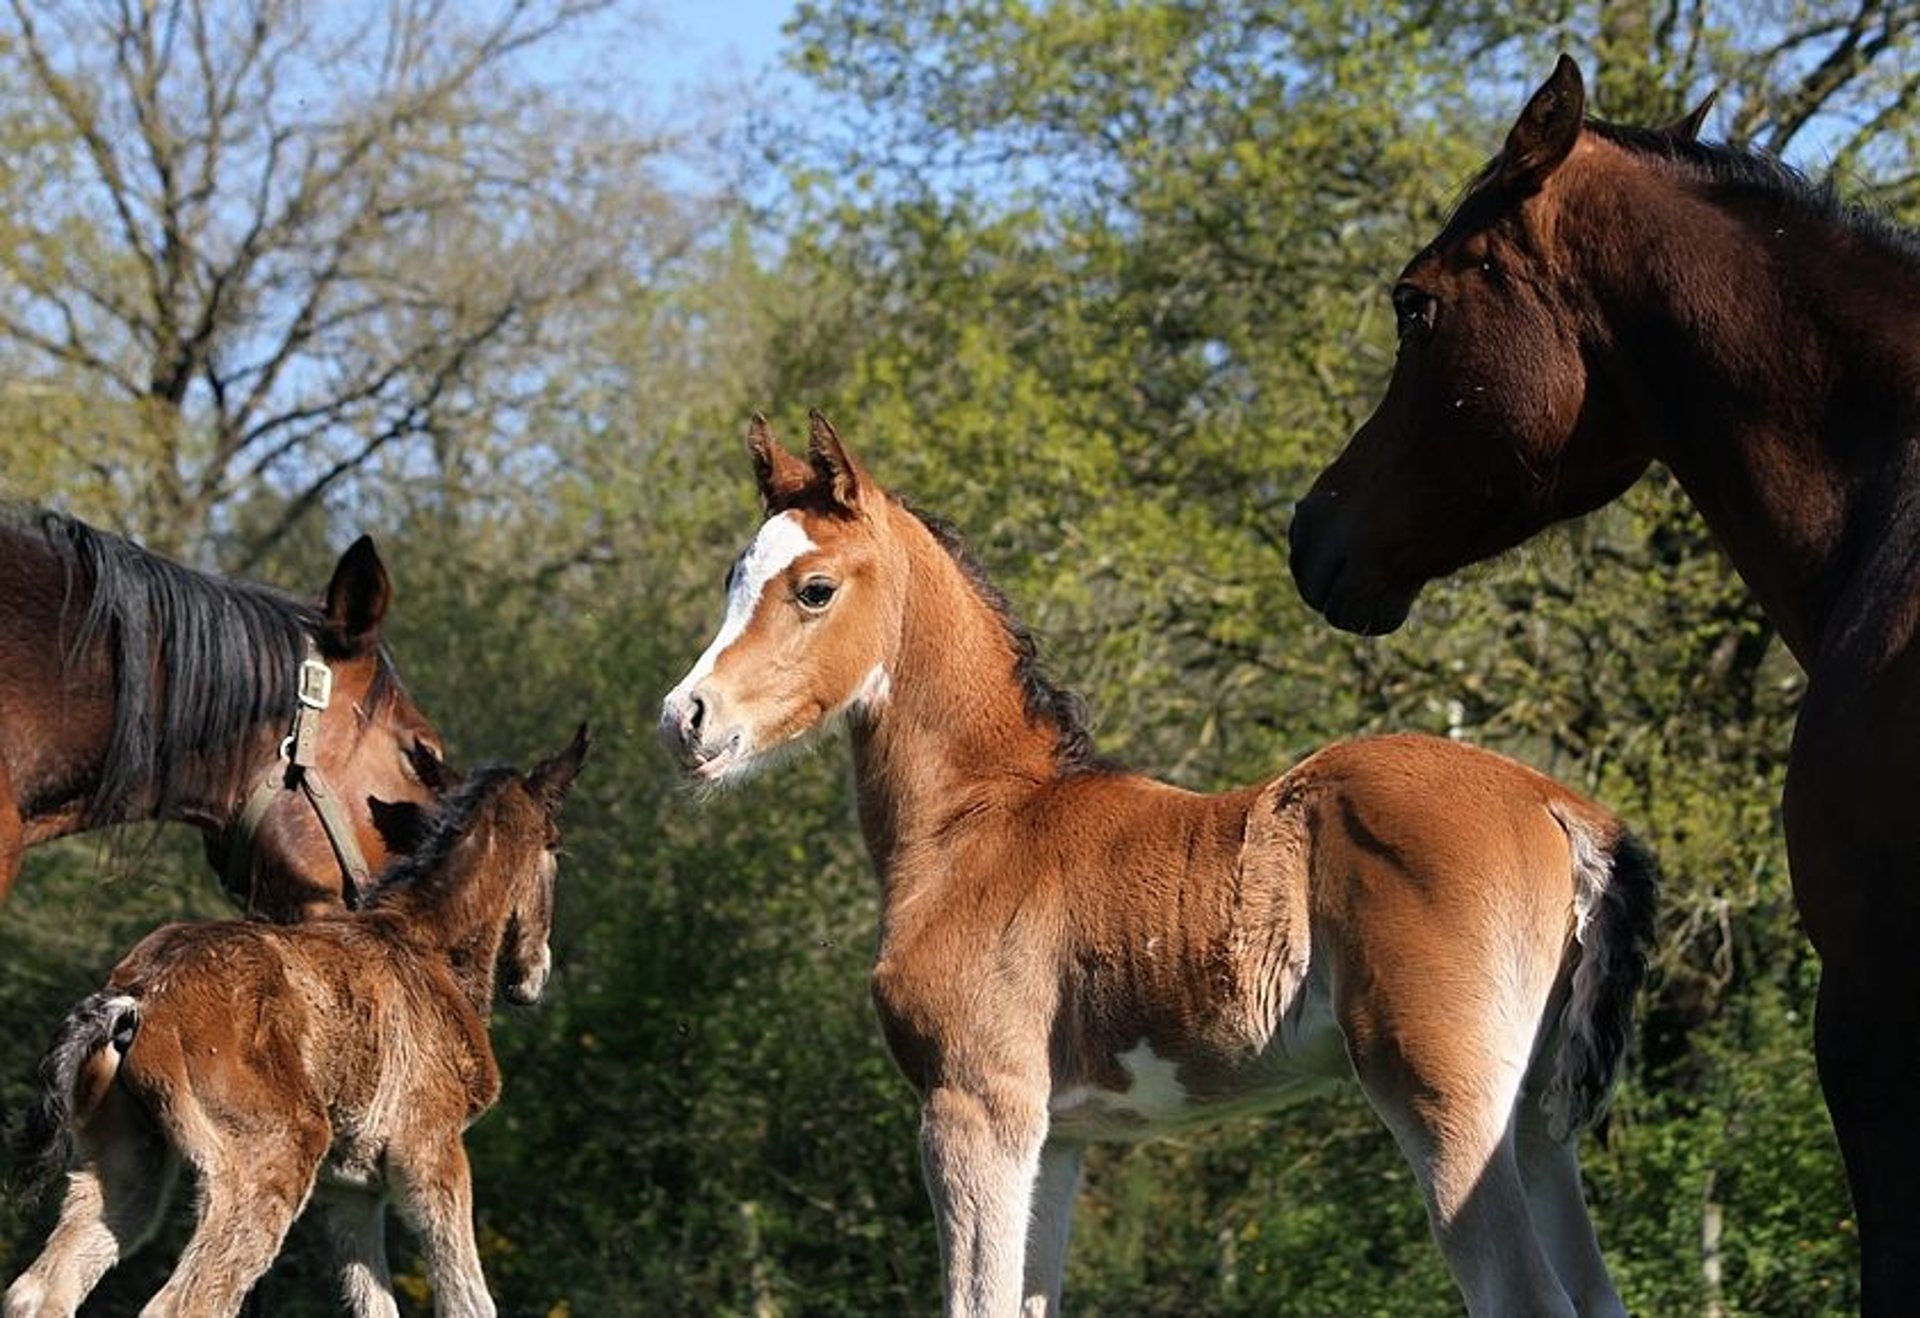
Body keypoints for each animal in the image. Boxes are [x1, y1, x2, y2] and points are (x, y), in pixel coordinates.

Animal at [3, 726, 587, 1318]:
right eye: (557, 846)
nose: (533, 976)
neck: (429, 946)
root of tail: (139, 993)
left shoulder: (353, 1192)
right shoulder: (431, 1152)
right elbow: (468, 1299)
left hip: (125, 1158)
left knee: (42, 1289)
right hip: (272, 1155)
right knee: (187, 1302)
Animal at [657, 412, 1658, 1317]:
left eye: (815, 589)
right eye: (733, 578)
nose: (684, 718)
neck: (978, 822)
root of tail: (1556, 804)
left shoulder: (974, 1109)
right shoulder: (1055, 1138)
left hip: (1442, 1099)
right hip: (1535, 1124)